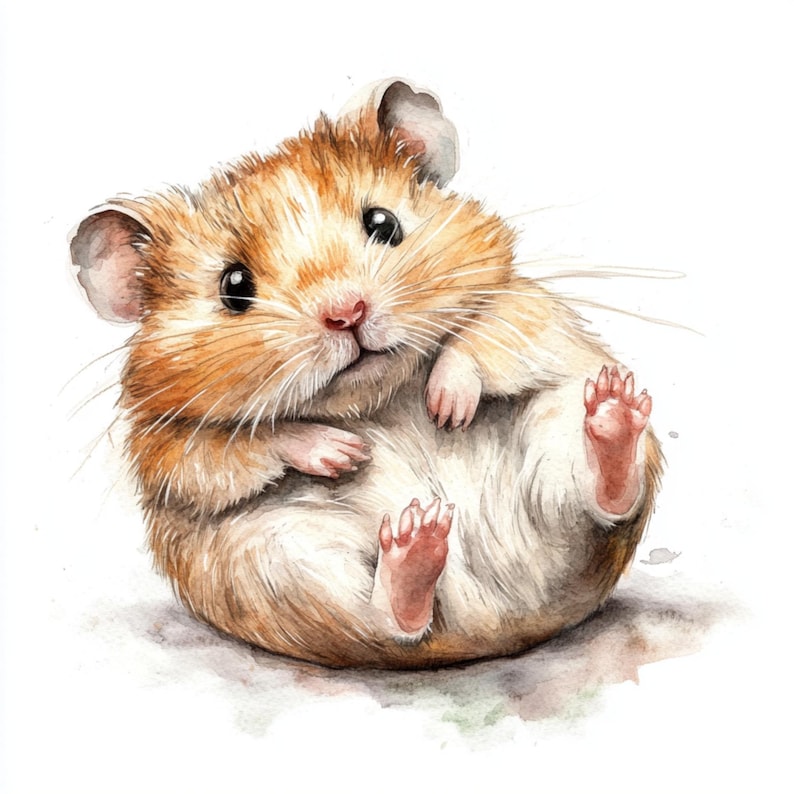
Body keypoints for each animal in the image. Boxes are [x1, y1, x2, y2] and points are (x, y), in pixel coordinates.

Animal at [70, 79, 662, 669]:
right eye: (233, 286)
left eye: (383, 223)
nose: (346, 313)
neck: (377, 394)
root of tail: (495, 625)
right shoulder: (166, 441)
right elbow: (243, 445)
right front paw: (344, 454)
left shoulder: (521, 304)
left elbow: (476, 338)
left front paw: (446, 408)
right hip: (279, 562)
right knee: (385, 617)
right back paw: (417, 536)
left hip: (557, 437)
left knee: (604, 499)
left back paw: (614, 407)